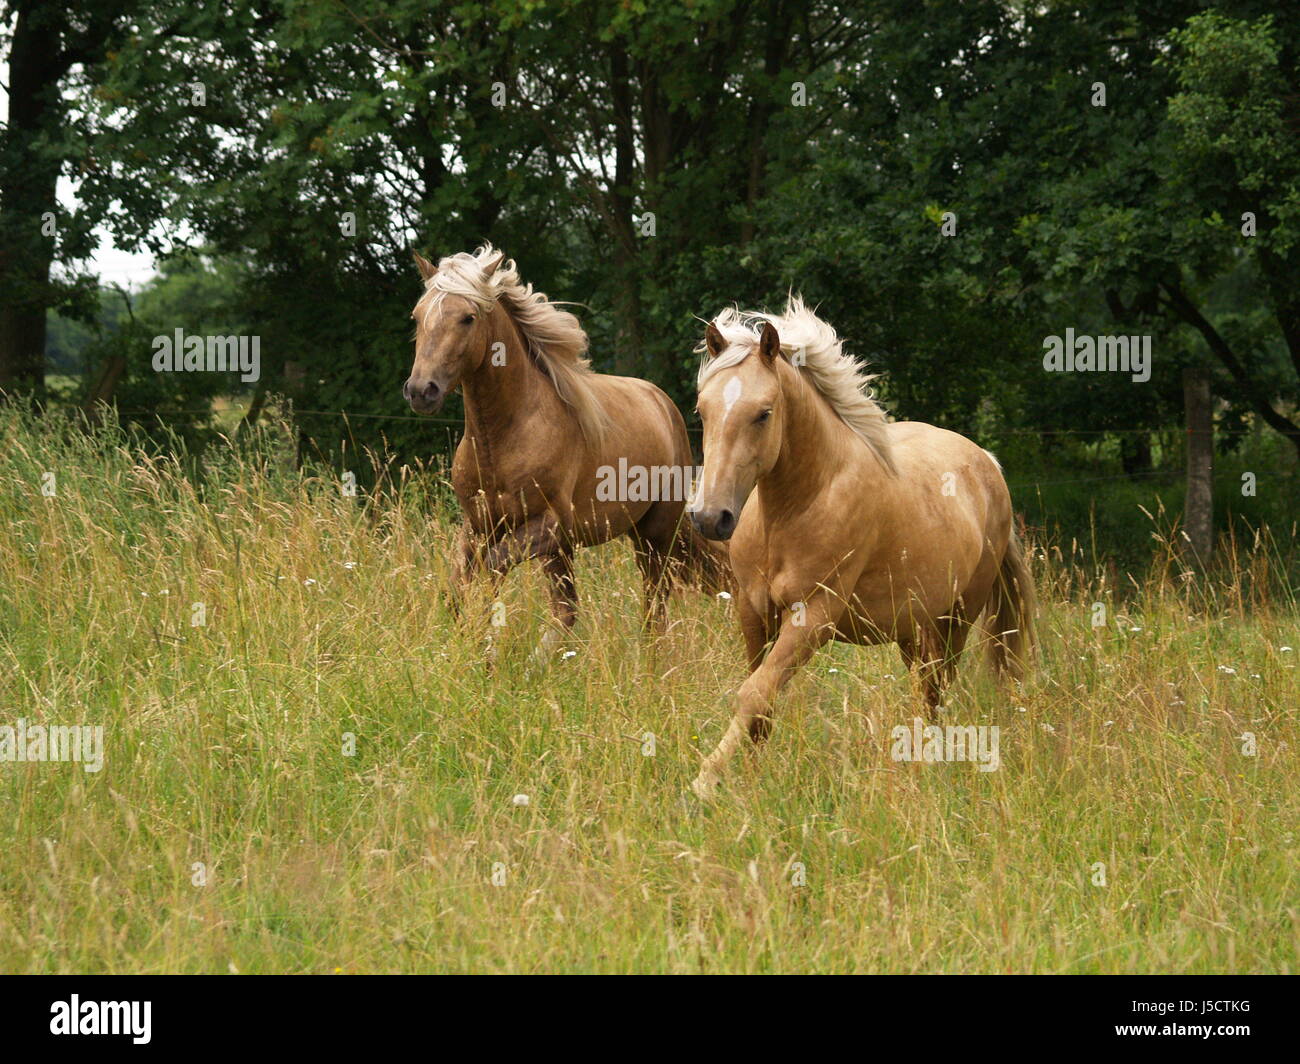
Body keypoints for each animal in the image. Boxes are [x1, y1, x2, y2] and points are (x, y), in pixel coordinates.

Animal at [403, 244, 728, 654]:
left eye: (468, 317)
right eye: (417, 316)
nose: (421, 390)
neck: (501, 439)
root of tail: (662, 404)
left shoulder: (550, 525)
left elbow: (491, 569)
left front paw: (487, 644)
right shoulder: (478, 525)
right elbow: (458, 589)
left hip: (654, 534)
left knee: (653, 608)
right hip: (573, 549)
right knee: (568, 610)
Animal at [687, 297, 1034, 798]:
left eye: (764, 413)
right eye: (702, 411)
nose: (711, 517)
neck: (794, 510)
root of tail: (988, 463)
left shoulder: (814, 616)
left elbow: (754, 693)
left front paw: (704, 782)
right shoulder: (753, 611)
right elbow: (760, 696)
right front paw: (748, 779)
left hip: (958, 618)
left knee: (936, 690)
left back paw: (923, 772)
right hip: (915, 627)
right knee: (924, 689)